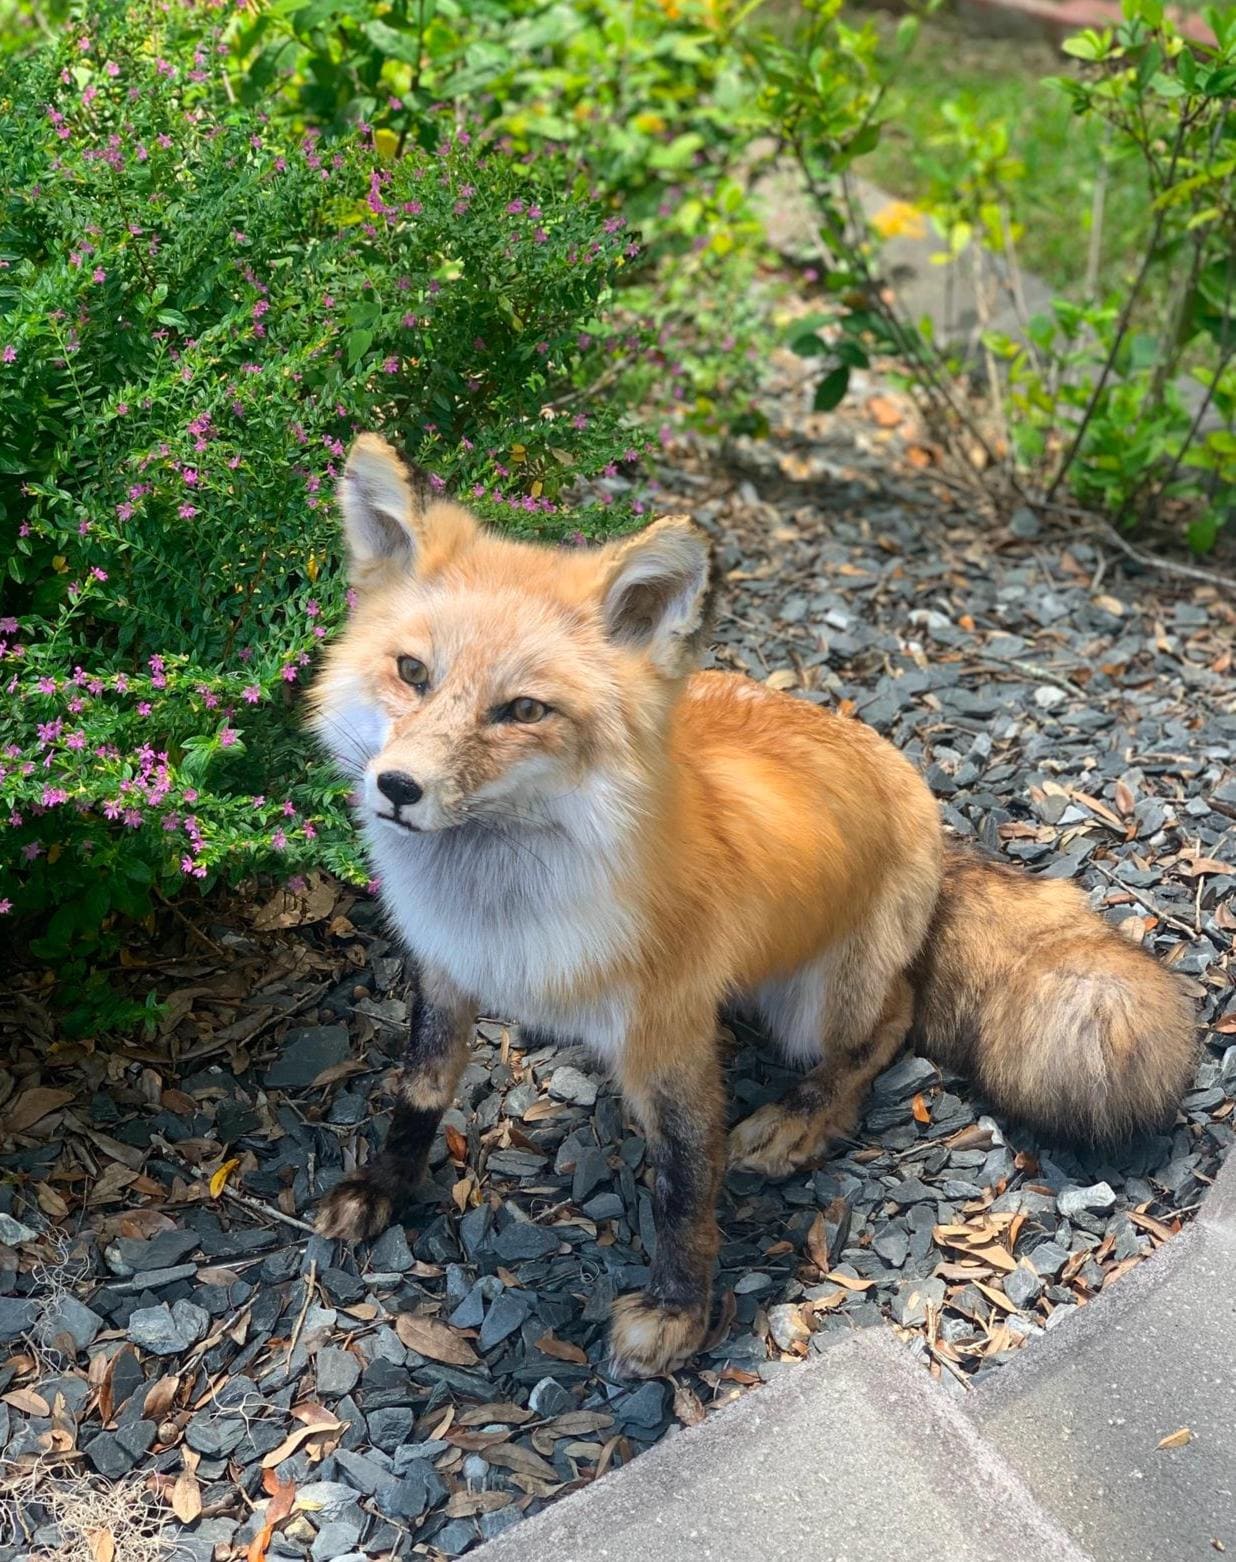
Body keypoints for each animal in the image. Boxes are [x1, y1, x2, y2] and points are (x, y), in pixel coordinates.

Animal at [310, 432, 1197, 1378]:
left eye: (521, 710)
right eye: (412, 672)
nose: (398, 787)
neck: (500, 915)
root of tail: (928, 813)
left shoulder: (667, 1036)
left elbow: (684, 1183)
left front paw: (678, 1314)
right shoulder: (443, 969)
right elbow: (420, 1089)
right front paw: (383, 1186)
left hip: (816, 1004)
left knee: (890, 1023)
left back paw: (803, 1119)